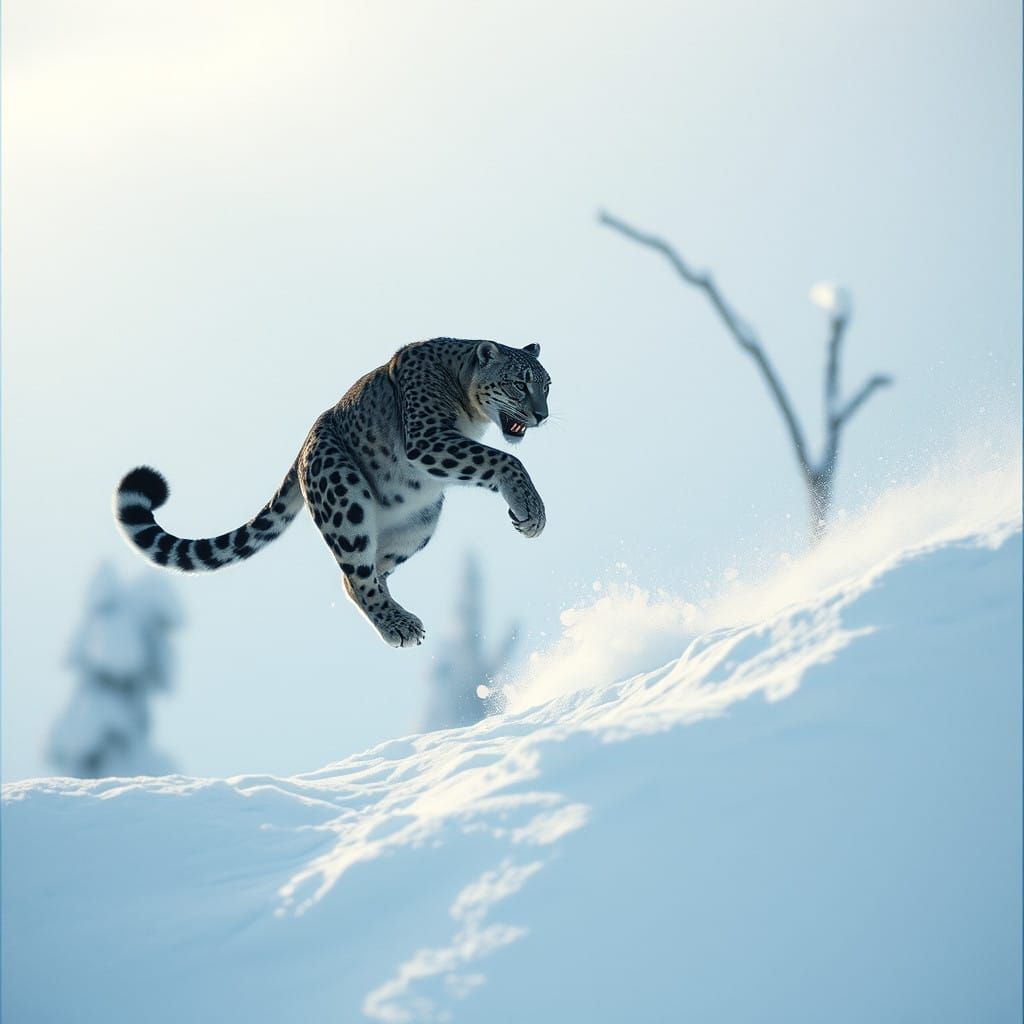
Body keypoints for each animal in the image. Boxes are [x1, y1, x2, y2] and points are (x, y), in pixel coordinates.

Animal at [114, 337, 551, 647]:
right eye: (519, 384)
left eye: (547, 386)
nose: (542, 415)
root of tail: (301, 450)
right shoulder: (428, 439)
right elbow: (505, 460)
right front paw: (531, 511)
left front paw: (526, 515)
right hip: (345, 499)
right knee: (357, 575)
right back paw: (399, 626)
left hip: (417, 525)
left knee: (362, 574)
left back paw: (399, 618)